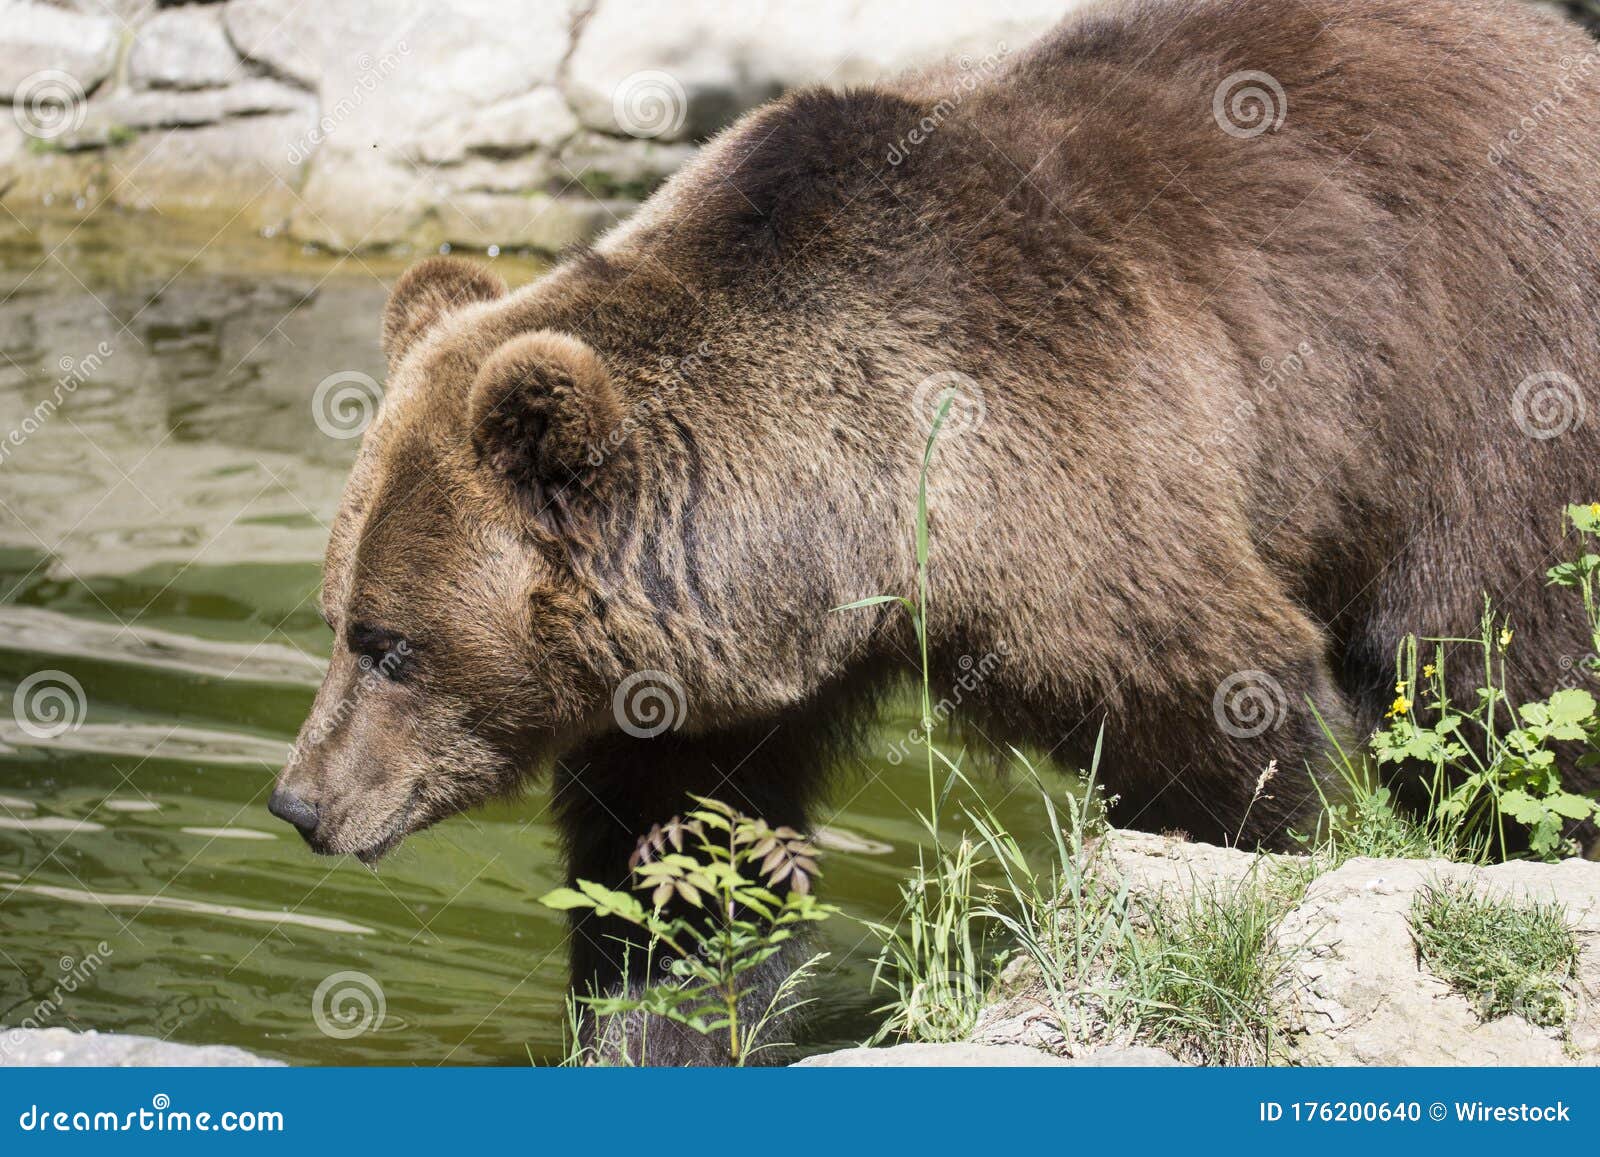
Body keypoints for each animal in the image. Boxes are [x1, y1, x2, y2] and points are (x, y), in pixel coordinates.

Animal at [270, 0, 1600, 1060]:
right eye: (336, 618)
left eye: (390, 643)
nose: (300, 801)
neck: (846, 533)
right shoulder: (705, 686)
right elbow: (683, 880)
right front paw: (654, 1020)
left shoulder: (1076, 482)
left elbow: (1239, 723)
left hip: (1485, 374)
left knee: (1500, 658)